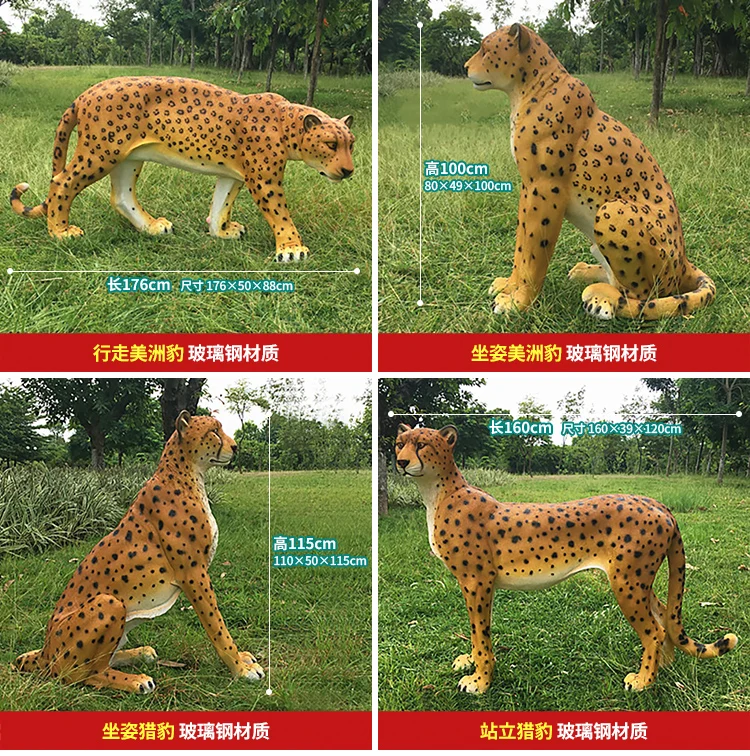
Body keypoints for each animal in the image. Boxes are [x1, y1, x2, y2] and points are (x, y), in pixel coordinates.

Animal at [9, 76, 355, 262]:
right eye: (330, 144)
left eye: (351, 143)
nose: (349, 171)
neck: (287, 123)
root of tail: (86, 92)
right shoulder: (264, 180)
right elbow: (280, 213)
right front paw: (292, 248)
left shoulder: (232, 174)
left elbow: (221, 205)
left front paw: (221, 231)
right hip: (101, 151)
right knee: (62, 182)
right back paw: (61, 232)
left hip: (128, 157)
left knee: (121, 196)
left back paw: (151, 227)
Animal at [15, 411, 264, 693]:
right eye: (213, 431)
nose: (235, 447)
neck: (186, 474)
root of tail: (45, 652)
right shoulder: (193, 574)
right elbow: (217, 626)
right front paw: (241, 668)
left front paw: (242, 660)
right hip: (109, 603)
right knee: (82, 674)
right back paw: (136, 680)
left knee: (102, 661)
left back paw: (139, 653)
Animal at [395, 423, 737, 695]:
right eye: (400, 442)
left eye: (422, 443)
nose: (400, 462)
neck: (438, 492)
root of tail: (656, 503)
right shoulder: (473, 585)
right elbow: (475, 630)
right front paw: (471, 664)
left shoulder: (477, 582)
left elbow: (481, 633)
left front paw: (480, 681)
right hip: (639, 580)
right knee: (665, 618)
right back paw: (662, 667)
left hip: (626, 581)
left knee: (654, 630)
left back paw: (643, 681)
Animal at [464, 24, 716, 320]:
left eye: (485, 49)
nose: (465, 67)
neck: (529, 87)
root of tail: (685, 260)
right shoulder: (528, 188)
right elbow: (521, 245)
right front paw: (509, 285)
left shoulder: (544, 188)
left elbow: (533, 250)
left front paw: (519, 301)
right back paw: (587, 271)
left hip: (612, 212)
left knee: (644, 297)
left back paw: (602, 297)